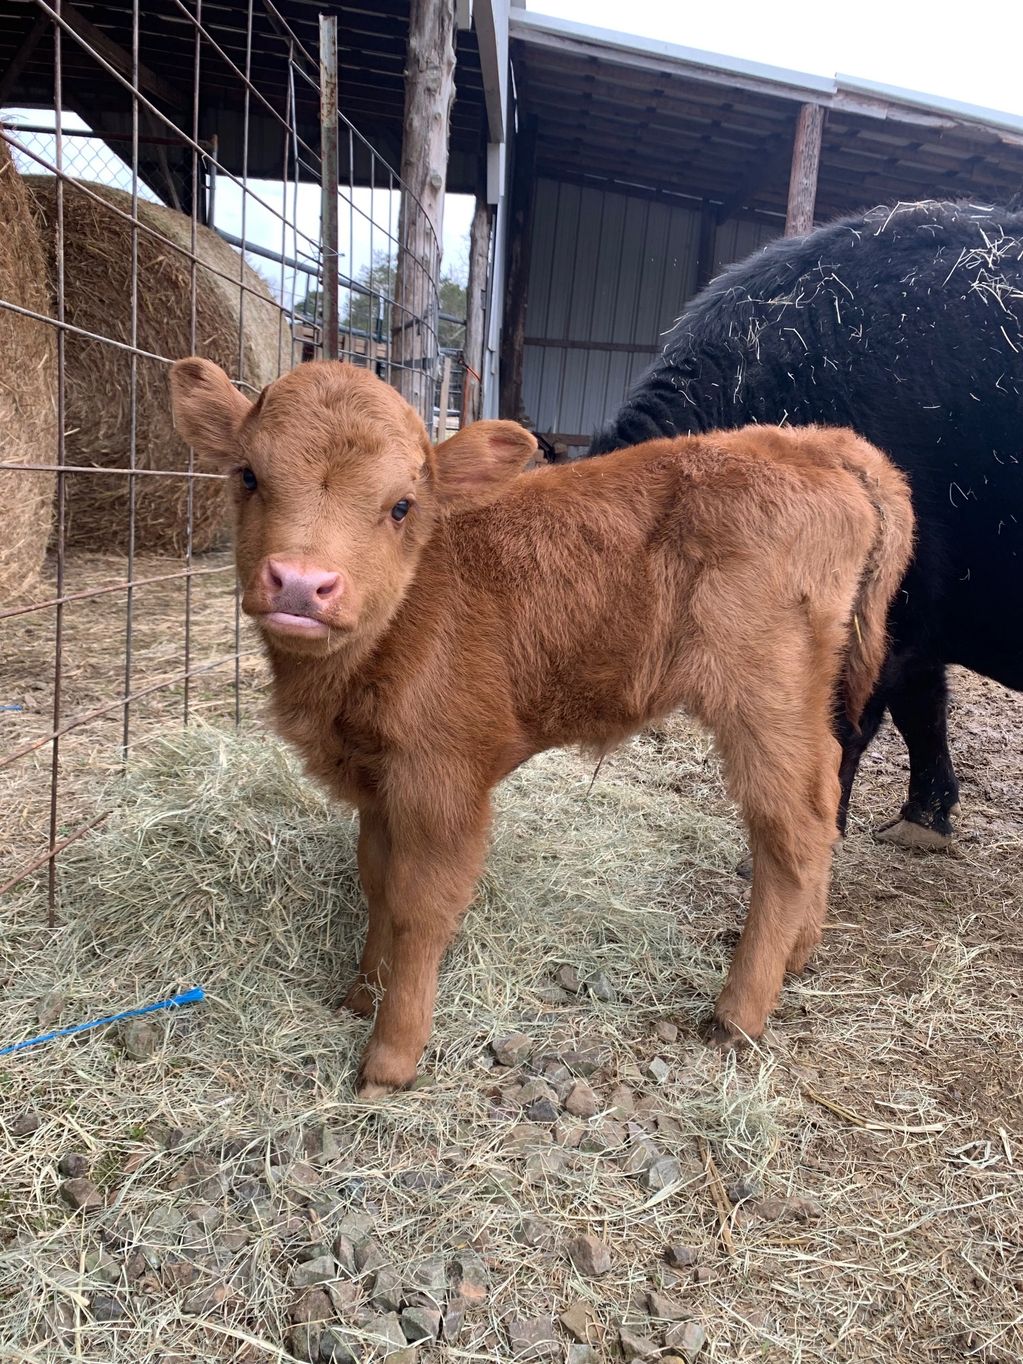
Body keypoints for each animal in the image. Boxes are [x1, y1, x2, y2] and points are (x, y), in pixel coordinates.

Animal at [170, 357, 912, 1096]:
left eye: (401, 506)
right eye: (248, 476)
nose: (301, 583)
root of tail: (813, 443)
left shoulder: (441, 783)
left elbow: (418, 906)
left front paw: (390, 1057)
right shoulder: (378, 784)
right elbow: (376, 883)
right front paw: (361, 994)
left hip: (761, 694)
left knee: (790, 830)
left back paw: (738, 1011)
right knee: (824, 792)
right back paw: (800, 952)